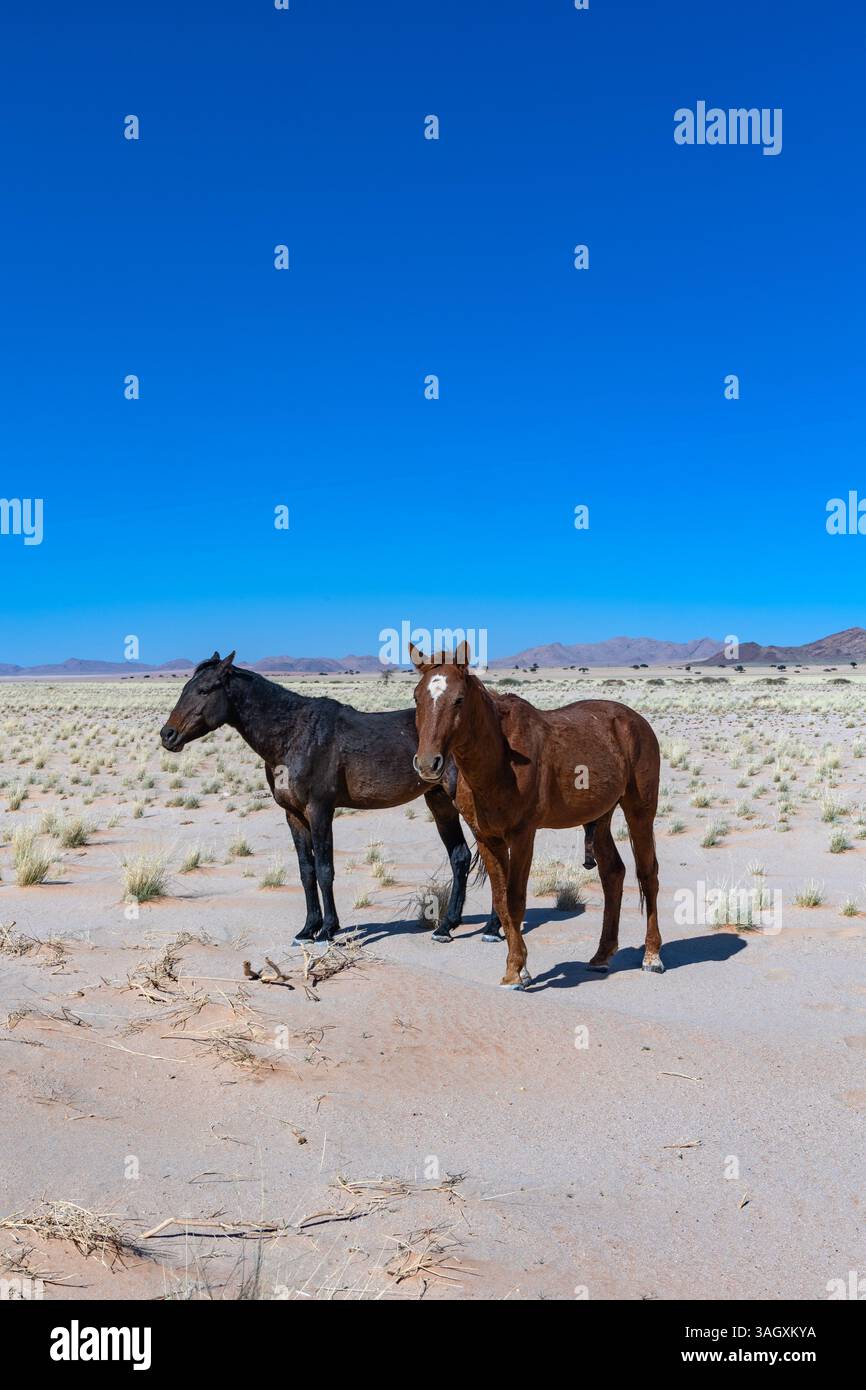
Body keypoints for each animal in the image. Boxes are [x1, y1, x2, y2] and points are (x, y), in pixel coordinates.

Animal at [159, 651, 502, 943]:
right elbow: (307, 871)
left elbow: (325, 870)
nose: (168, 735)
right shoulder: (294, 815)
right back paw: (446, 927)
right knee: (460, 857)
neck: (294, 734)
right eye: (186, 687)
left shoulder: (320, 810)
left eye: (205, 689)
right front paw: (307, 929)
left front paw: (327, 930)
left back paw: (492, 928)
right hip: (439, 801)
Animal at [410, 642, 663, 988]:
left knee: (647, 875)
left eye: (458, 699)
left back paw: (652, 956)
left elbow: (515, 899)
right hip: (600, 817)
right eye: (417, 697)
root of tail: (636, 721)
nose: (427, 763)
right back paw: (601, 956)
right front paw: (514, 968)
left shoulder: (522, 834)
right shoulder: (486, 838)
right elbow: (501, 900)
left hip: (640, 810)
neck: (500, 761)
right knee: (613, 874)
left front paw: (517, 971)